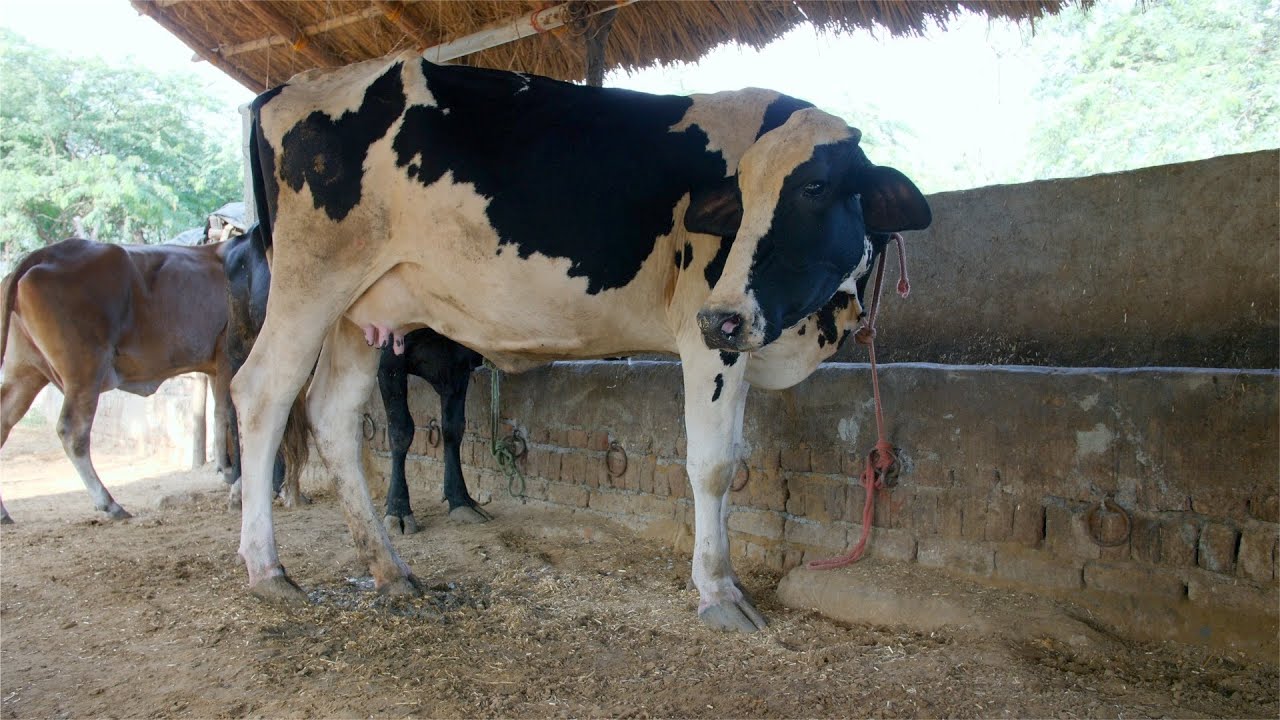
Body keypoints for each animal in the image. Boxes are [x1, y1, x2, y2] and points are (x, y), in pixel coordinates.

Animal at [0, 238, 233, 523]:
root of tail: (49, 252)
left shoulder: (215, 365)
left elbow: (219, 415)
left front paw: (224, 469)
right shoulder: (228, 354)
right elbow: (228, 413)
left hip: (25, 372)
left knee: (4, 421)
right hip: (85, 372)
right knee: (73, 431)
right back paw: (109, 503)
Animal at [222, 224, 489, 528]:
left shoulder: (457, 367)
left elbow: (454, 428)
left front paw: (460, 499)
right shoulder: (389, 364)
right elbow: (401, 431)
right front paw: (398, 508)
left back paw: (283, 489)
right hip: (239, 348)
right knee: (241, 415)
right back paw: (239, 489)